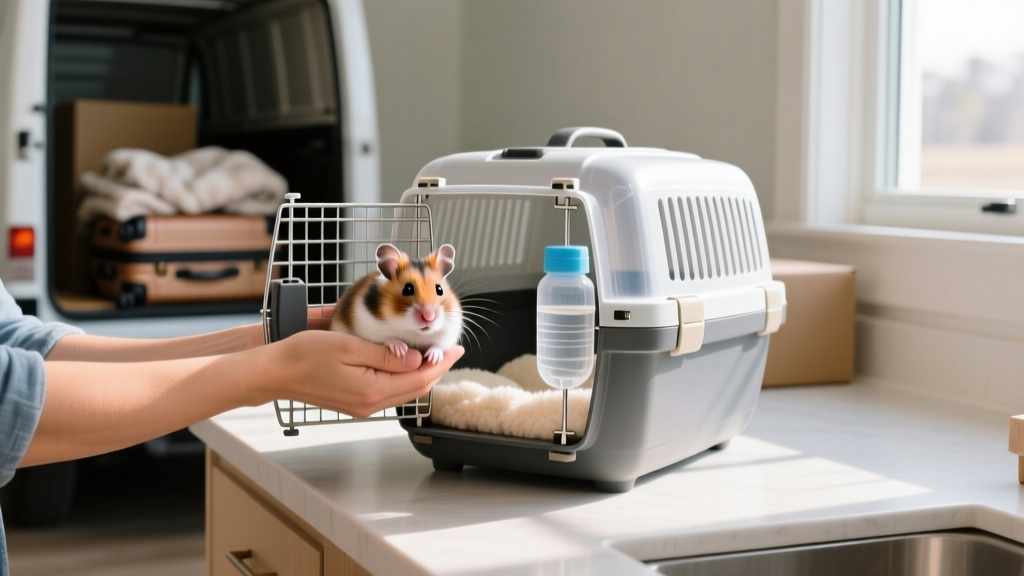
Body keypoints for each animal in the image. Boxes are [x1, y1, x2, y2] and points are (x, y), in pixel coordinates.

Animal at [330, 243, 463, 365]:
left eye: (439, 289)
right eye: (408, 289)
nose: (429, 317)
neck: (412, 330)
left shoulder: (450, 331)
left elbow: (440, 345)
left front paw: (433, 359)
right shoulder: (366, 325)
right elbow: (386, 338)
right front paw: (401, 350)